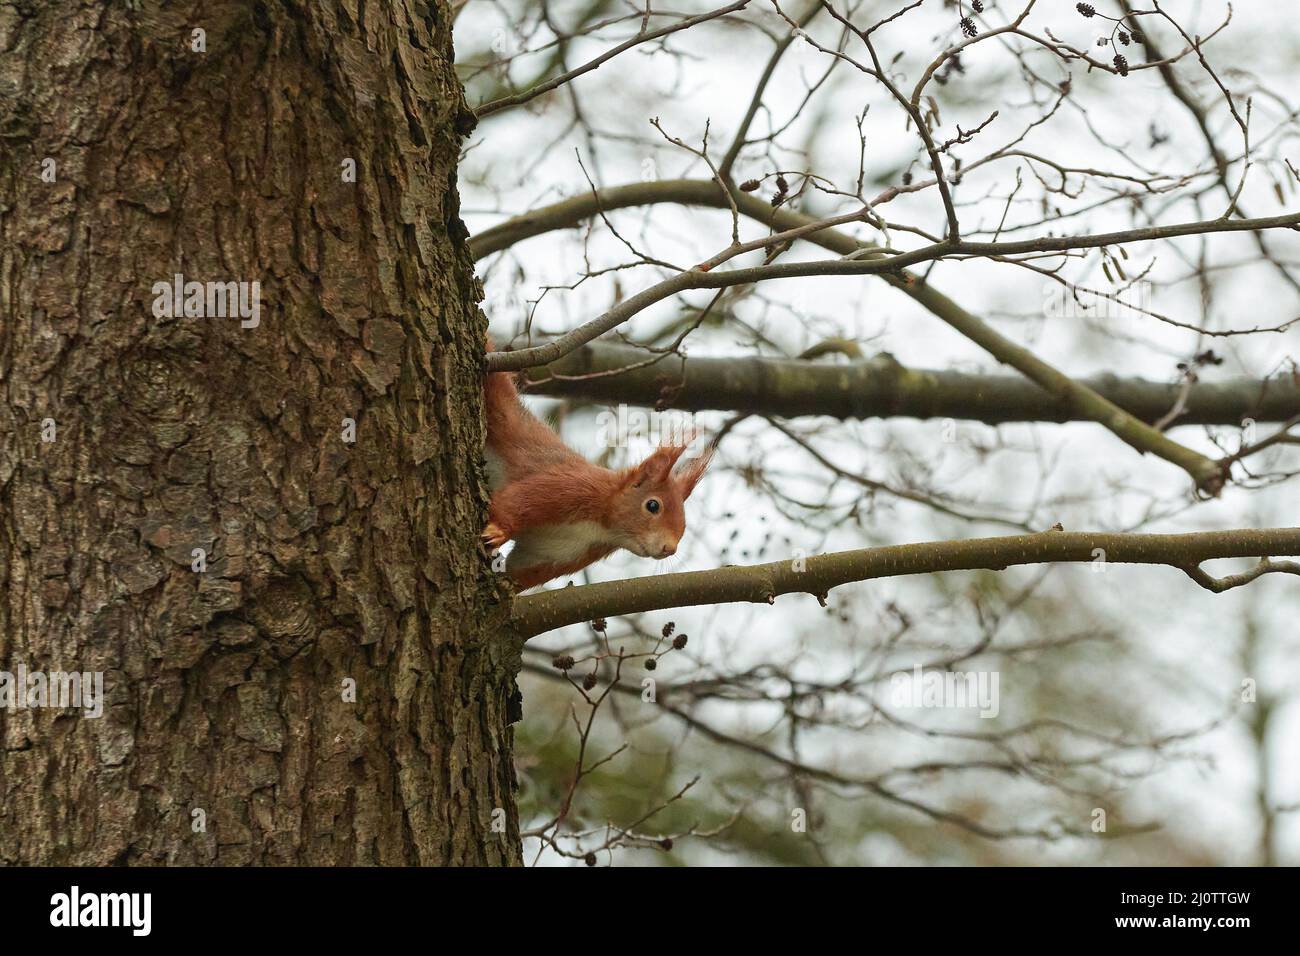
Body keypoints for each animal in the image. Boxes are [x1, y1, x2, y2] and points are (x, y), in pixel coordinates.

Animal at [481, 337, 711, 590]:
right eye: (653, 505)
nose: (669, 548)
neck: (603, 527)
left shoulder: (560, 553)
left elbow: (521, 569)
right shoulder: (572, 489)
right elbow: (517, 500)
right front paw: (497, 530)